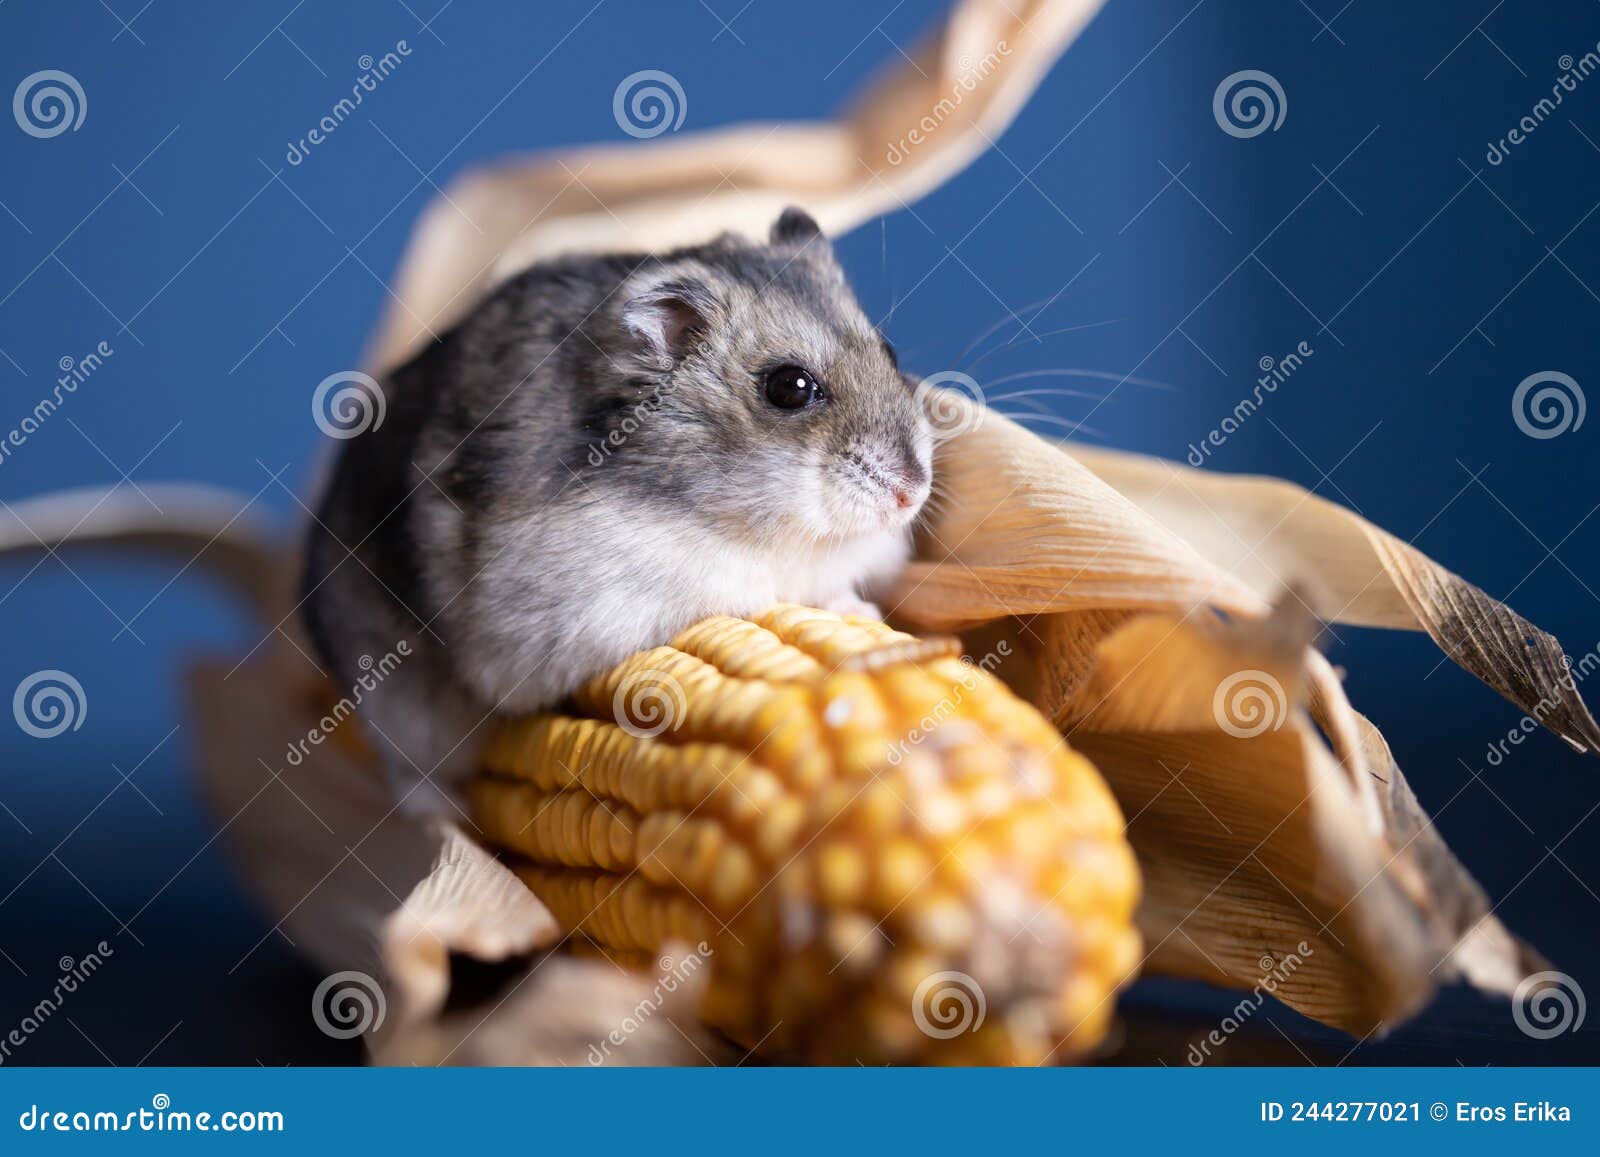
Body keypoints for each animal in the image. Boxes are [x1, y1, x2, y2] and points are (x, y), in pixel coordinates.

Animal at [301, 208, 933, 810]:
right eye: (790, 387)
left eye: (888, 350)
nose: (913, 492)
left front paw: (865, 614)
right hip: (398, 703)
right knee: (411, 779)